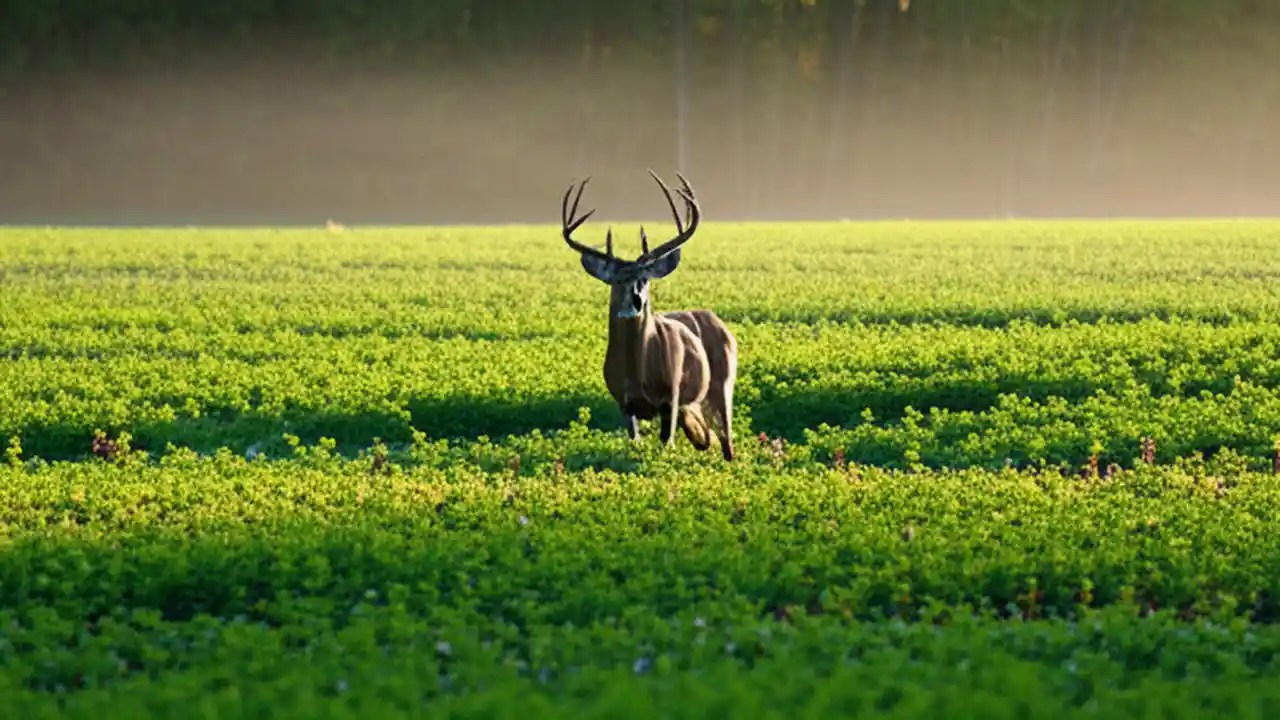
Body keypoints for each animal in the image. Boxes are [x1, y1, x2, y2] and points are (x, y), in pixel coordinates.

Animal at [560, 170, 738, 461]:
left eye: (645, 279)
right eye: (616, 280)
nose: (635, 301)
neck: (637, 374)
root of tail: (718, 321)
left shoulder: (671, 396)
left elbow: (667, 441)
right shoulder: (622, 402)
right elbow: (635, 439)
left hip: (723, 381)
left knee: (726, 437)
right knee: (705, 433)